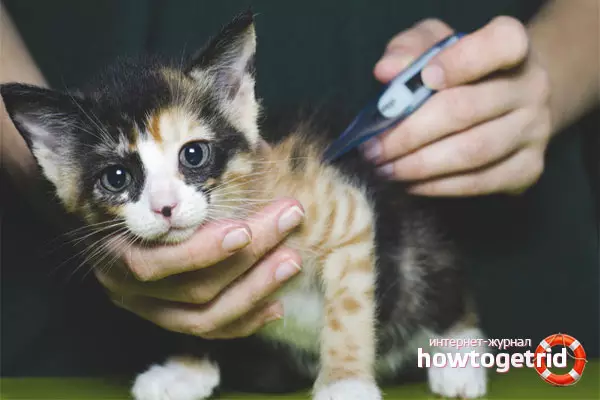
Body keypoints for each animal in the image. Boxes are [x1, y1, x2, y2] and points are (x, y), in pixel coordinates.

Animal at [0, 10, 488, 398]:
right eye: (116, 177)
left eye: (193, 154)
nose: (165, 207)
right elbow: (198, 318)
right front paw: (186, 369)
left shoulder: (342, 209)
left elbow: (348, 308)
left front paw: (346, 383)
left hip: (418, 255)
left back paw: (457, 358)